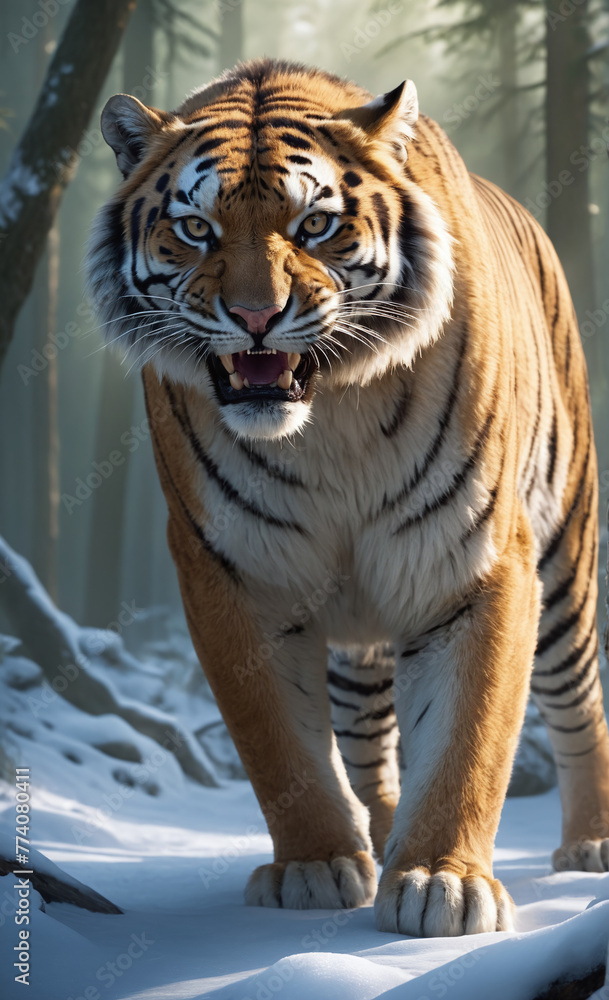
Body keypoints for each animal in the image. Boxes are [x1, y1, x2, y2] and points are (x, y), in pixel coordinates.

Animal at [86, 58, 609, 937]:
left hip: (565, 556)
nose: (255, 316)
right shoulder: (234, 576)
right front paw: (316, 865)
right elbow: (278, 745)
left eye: (314, 225)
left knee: (578, 701)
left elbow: (469, 737)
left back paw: (589, 845)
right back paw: (380, 832)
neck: (327, 421)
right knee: (370, 743)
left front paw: (441, 883)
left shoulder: (475, 566)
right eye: (195, 229)